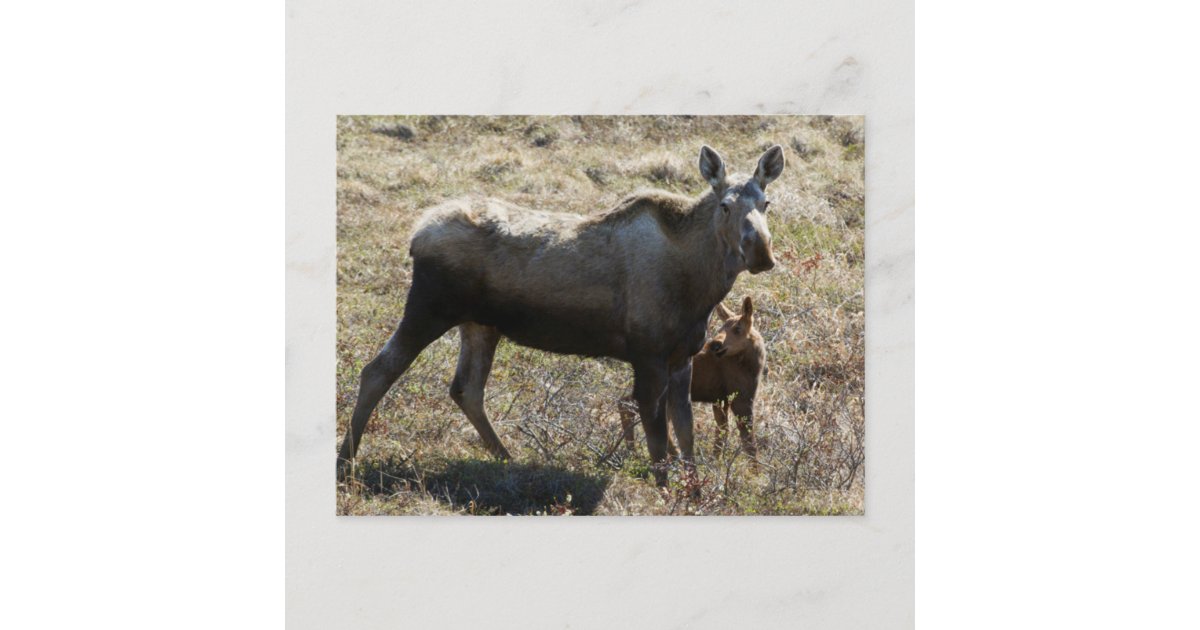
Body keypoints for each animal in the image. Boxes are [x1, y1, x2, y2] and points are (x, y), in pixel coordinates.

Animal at [337, 145, 784, 487]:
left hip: (480, 325)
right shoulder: (648, 356)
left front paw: (694, 493)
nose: (761, 253)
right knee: (377, 371)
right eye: (725, 206)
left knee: (466, 389)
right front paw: (667, 494)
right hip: (429, 308)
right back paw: (347, 461)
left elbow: (687, 435)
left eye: (766, 203)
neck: (699, 285)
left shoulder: (682, 358)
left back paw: (508, 458)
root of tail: (416, 234)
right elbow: (659, 443)